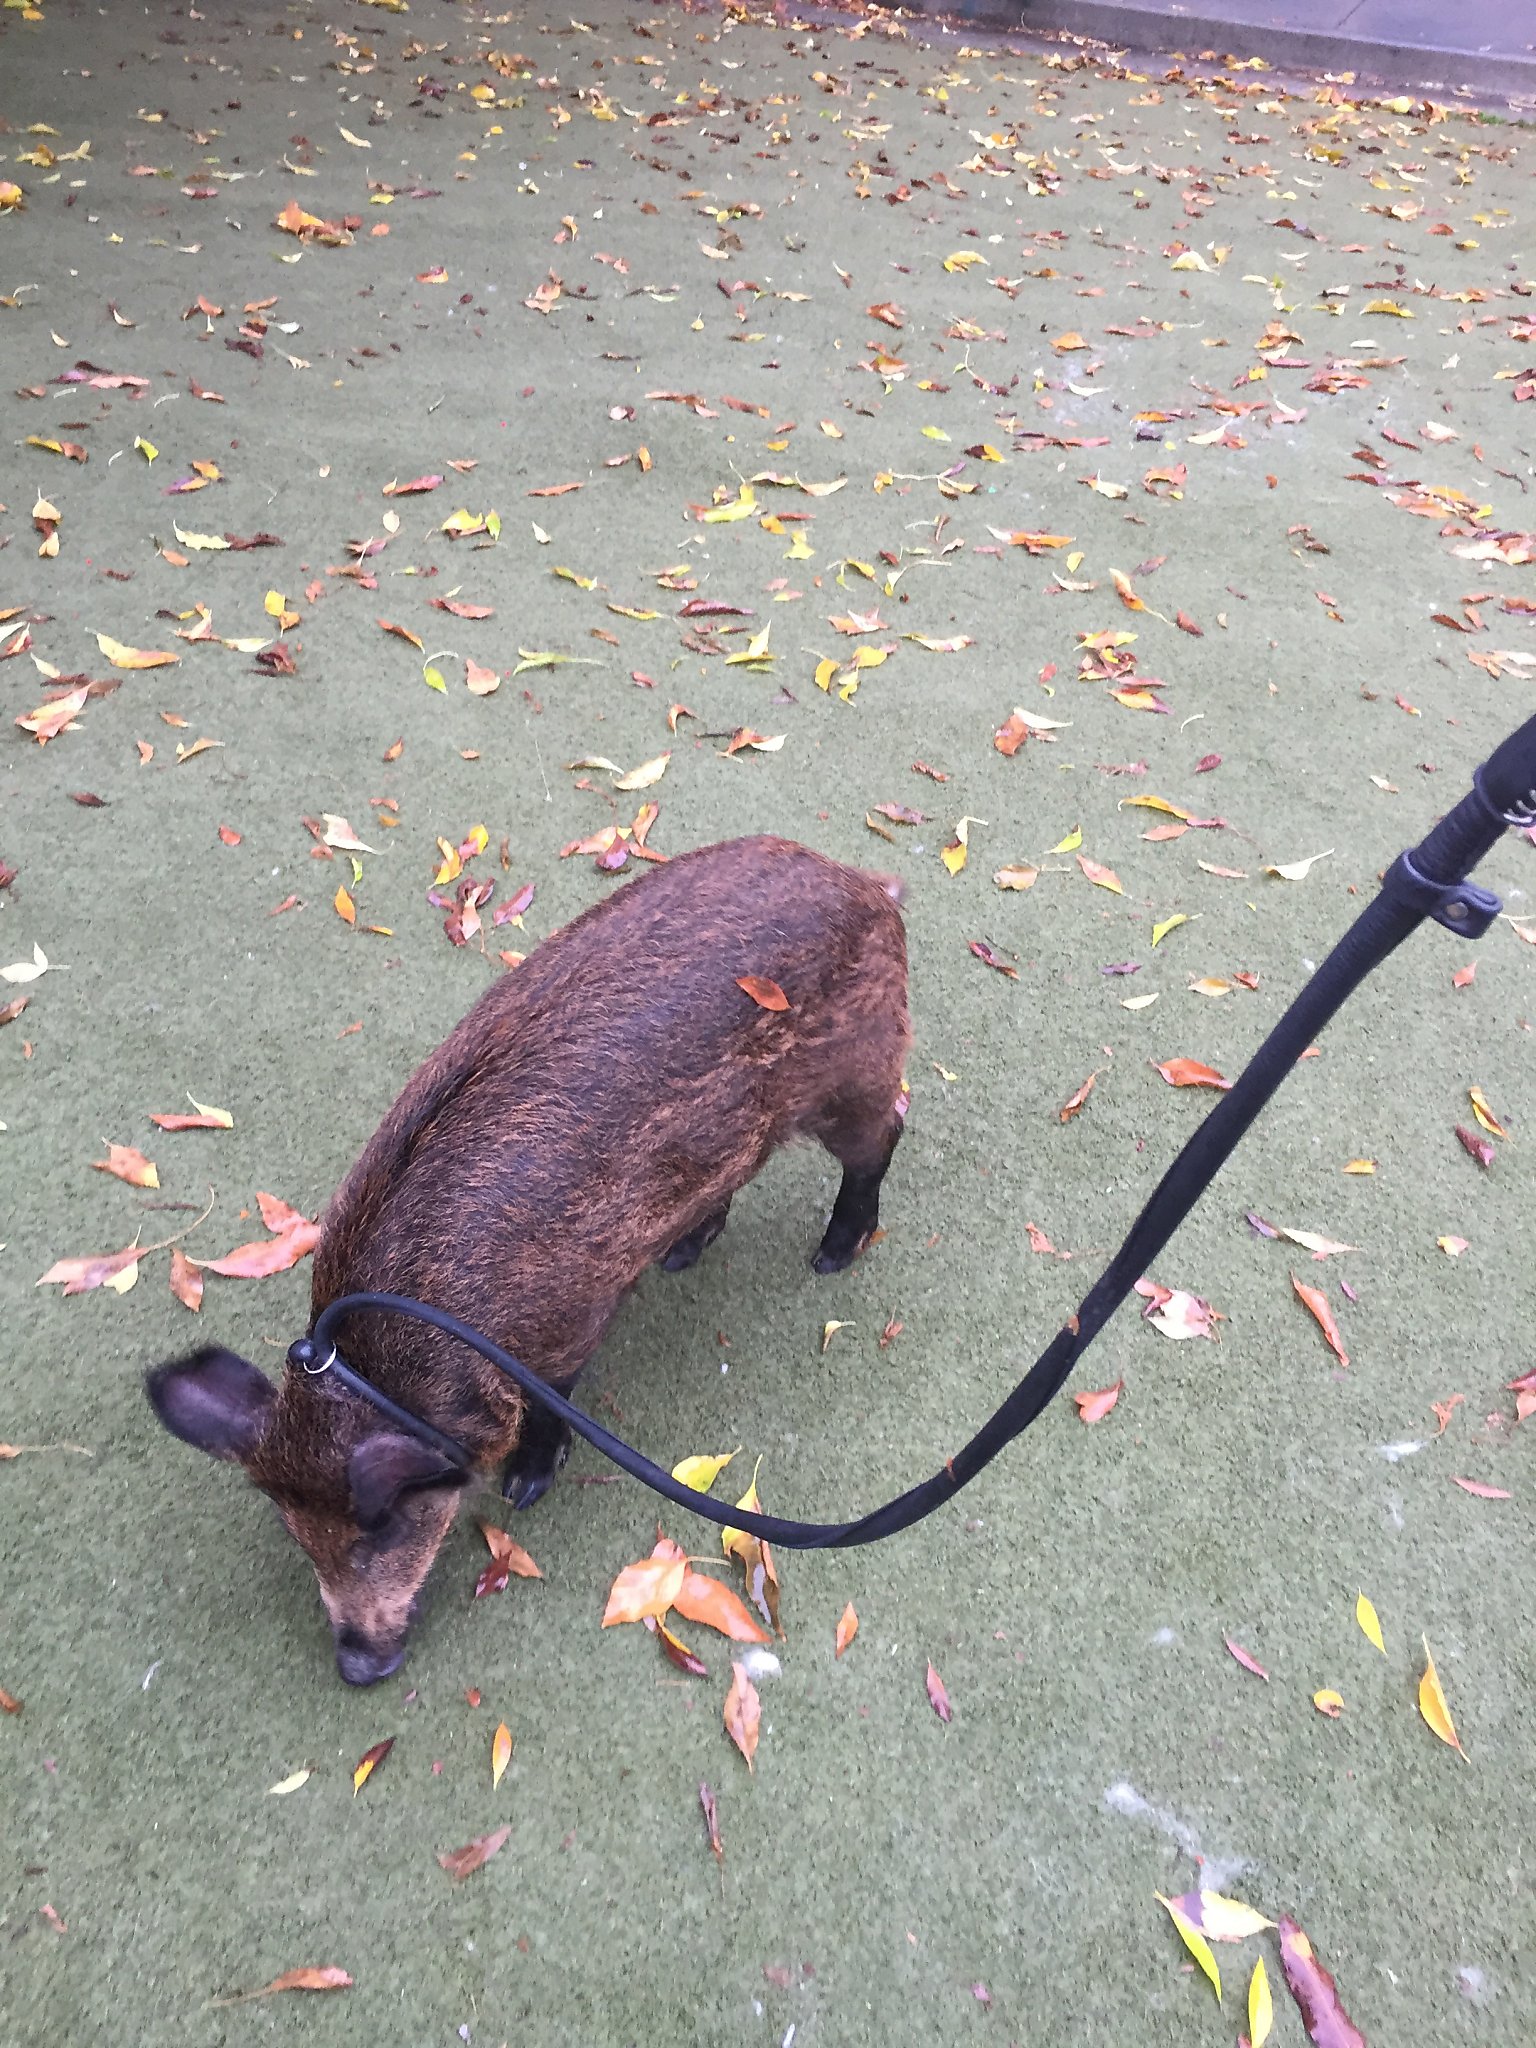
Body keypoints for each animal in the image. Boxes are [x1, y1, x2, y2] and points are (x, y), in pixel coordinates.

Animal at [147, 835, 910, 1684]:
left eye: (381, 1527)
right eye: (294, 1530)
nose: (357, 1669)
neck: (402, 1353)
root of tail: (865, 884)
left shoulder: (569, 1317)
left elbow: (552, 1405)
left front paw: (524, 1489)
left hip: (858, 1070)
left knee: (884, 1136)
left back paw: (831, 1258)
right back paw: (682, 1256)